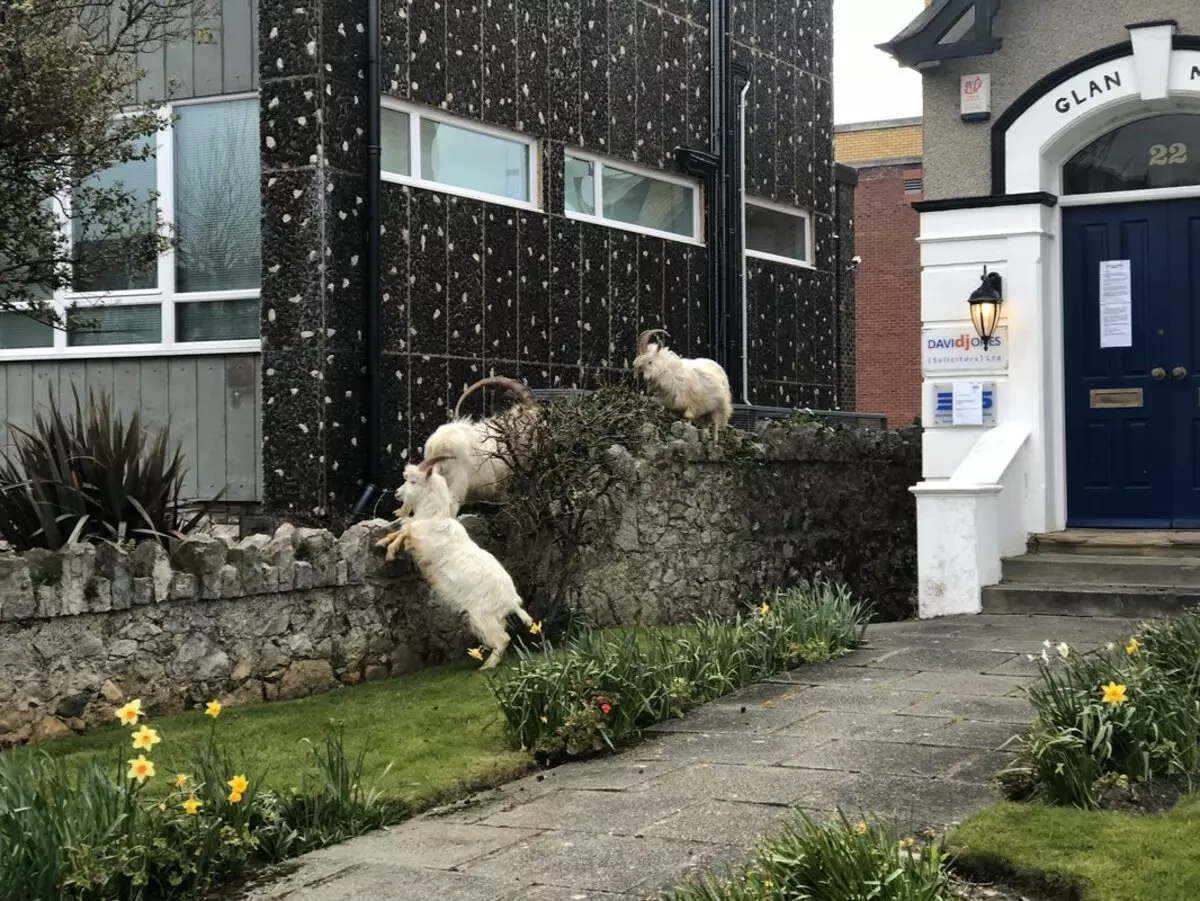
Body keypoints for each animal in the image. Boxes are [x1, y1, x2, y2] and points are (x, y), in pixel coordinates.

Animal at [376, 458, 537, 671]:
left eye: (413, 481)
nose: (397, 493)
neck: (435, 518)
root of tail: (512, 601)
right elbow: (402, 530)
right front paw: (382, 542)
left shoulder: (421, 543)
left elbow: (405, 532)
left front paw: (389, 552)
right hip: (493, 618)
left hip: (481, 616)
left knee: (503, 638)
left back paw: (486, 667)